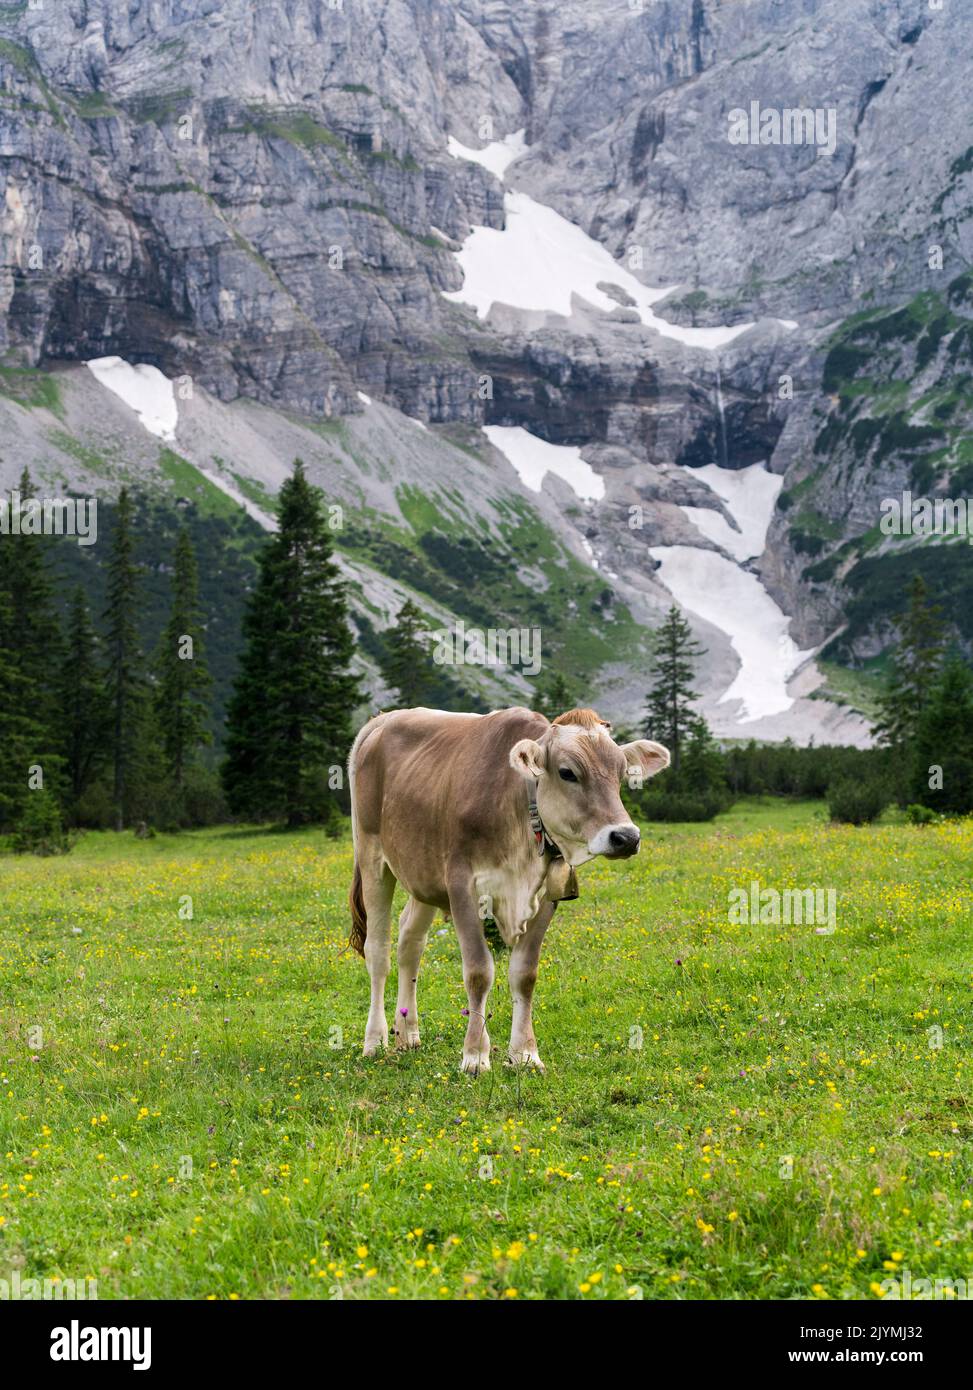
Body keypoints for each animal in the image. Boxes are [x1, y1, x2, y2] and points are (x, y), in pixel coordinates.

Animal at [347, 706, 670, 1073]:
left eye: (620, 773)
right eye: (567, 773)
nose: (625, 837)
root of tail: (383, 718)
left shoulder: (547, 895)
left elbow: (524, 974)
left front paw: (526, 1053)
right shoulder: (461, 884)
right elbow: (478, 972)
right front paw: (475, 1055)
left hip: (422, 873)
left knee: (410, 943)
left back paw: (407, 1034)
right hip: (372, 856)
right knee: (378, 951)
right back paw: (375, 1041)